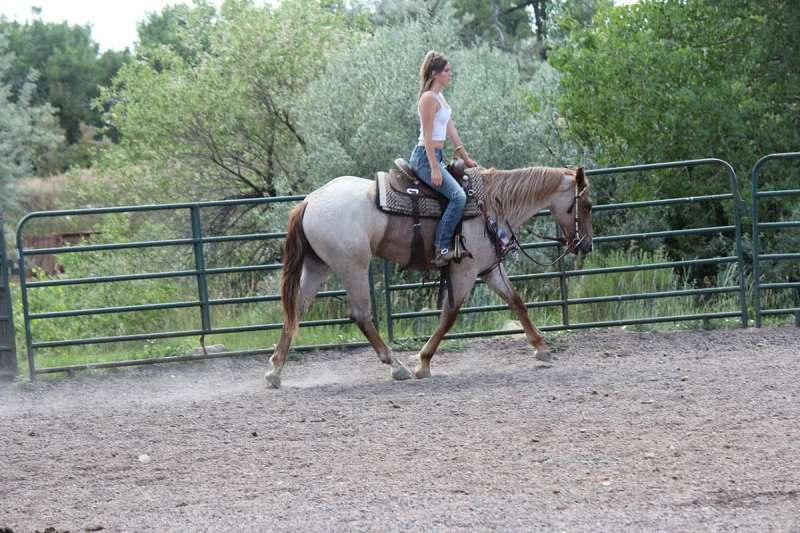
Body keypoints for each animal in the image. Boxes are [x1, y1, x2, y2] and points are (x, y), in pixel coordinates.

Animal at [265, 165, 593, 388]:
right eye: (587, 205)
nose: (586, 245)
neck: (491, 204)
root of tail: (310, 200)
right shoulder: (464, 271)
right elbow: (449, 315)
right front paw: (423, 363)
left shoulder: (490, 269)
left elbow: (517, 302)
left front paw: (541, 348)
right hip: (352, 266)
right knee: (361, 314)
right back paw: (396, 366)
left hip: (318, 266)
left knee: (296, 310)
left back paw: (275, 371)